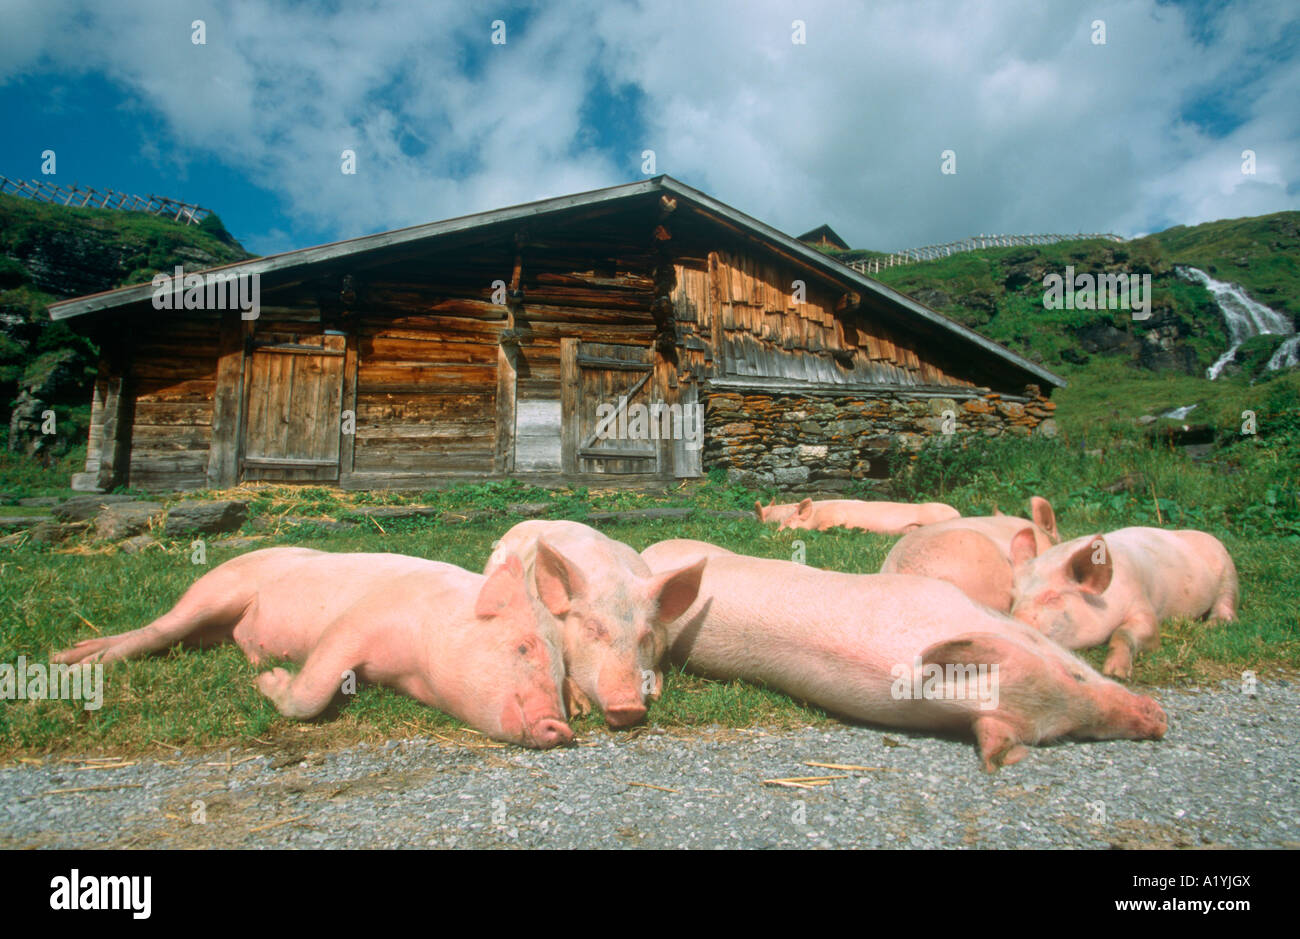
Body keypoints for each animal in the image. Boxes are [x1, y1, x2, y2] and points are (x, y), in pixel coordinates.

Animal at [50, 547, 574, 749]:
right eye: (523, 647)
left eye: (562, 673)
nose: (562, 727)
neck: (411, 671)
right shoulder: (351, 626)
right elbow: (312, 692)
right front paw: (267, 679)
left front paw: (264, 671)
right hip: (213, 591)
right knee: (157, 629)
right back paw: (70, 664)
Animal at [1008, 527, 1239, 680]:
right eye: (1013, 596)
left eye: (1052, 597)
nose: (1015, 622)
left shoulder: (1141, 602)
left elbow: (1130, 632)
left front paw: (1115, 673)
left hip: (1228, 570)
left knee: (1227, 600)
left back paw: (1214, 624)